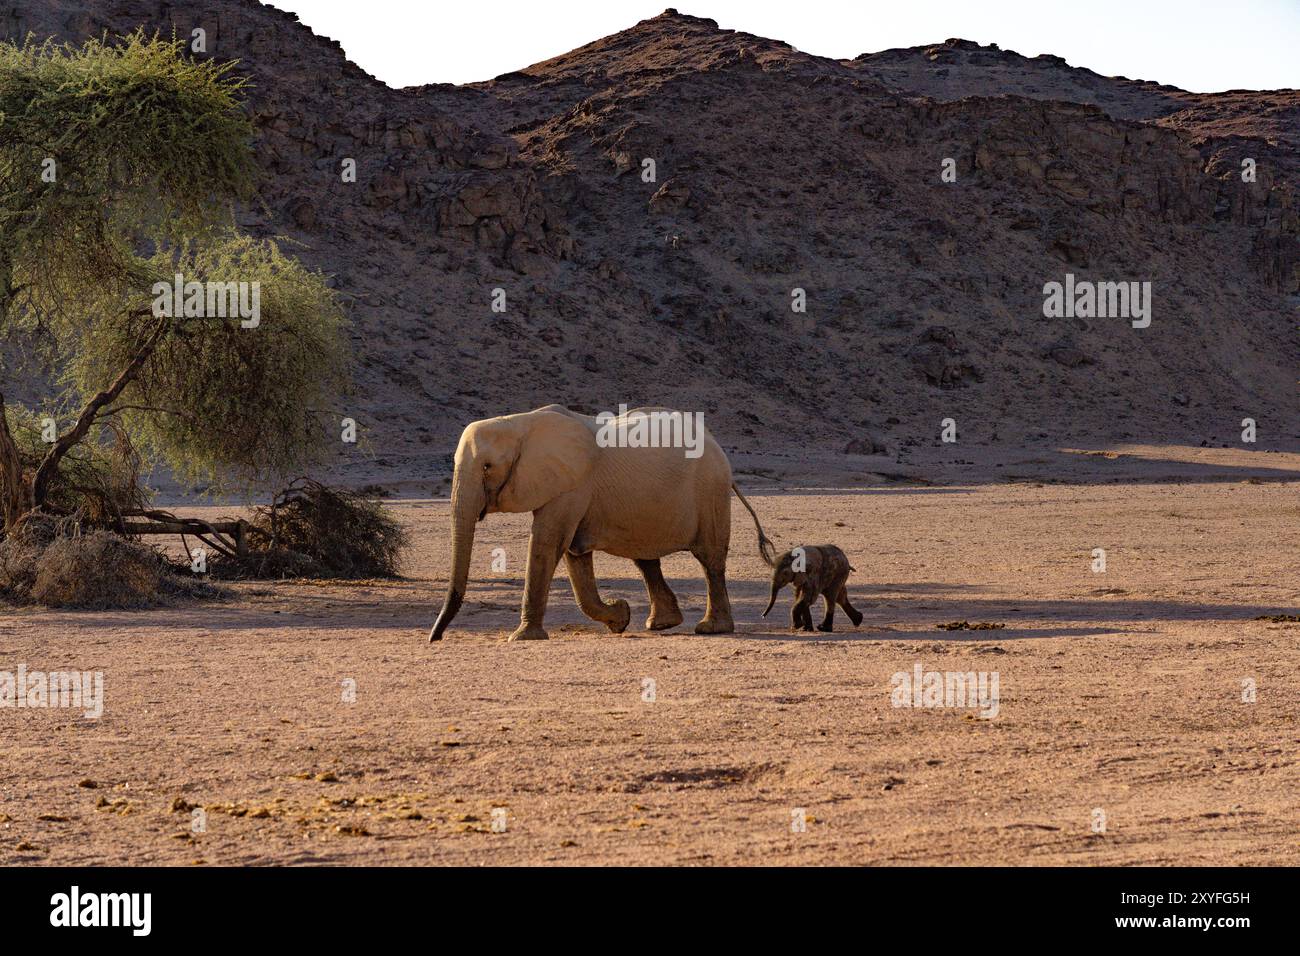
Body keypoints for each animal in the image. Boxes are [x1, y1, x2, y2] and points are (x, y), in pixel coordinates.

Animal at [428, 404, 775, 642]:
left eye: (487, 467)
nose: (436, 638)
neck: (520, 423)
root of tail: (714, 442)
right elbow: (574, 553)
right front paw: (619, 618)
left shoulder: (572, 483)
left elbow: (548, 542)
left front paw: (522, 638)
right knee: (646, 559)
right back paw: (660, 624)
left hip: (711, 491)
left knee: (709, 560)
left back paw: (711, 629)